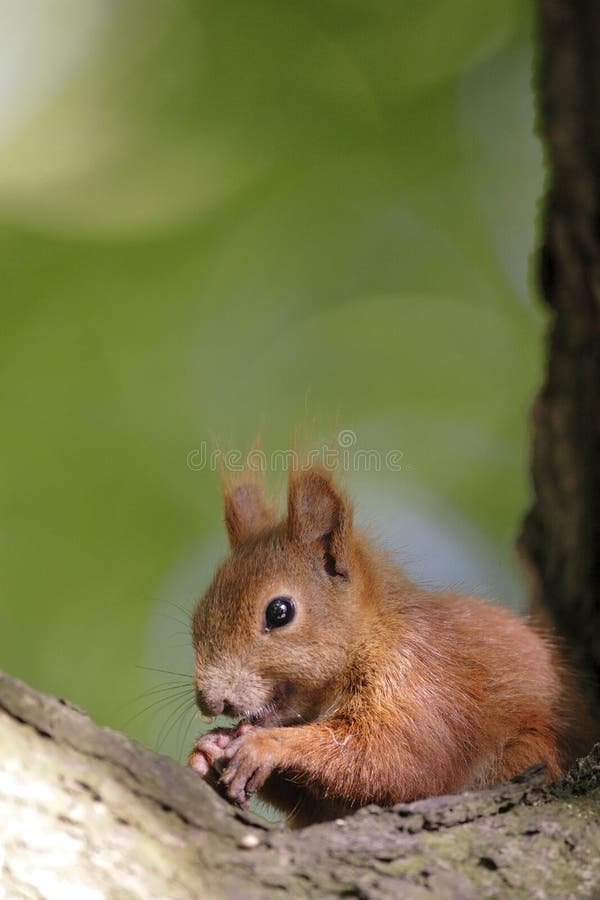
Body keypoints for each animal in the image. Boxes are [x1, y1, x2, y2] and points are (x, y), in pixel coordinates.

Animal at [188, 467, 592, 828]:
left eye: (279, 612)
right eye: (196, 617)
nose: (211, 702)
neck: (374, 636)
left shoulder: (420, 684)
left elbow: (395, 762)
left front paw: (267, 745)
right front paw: (209, 749)